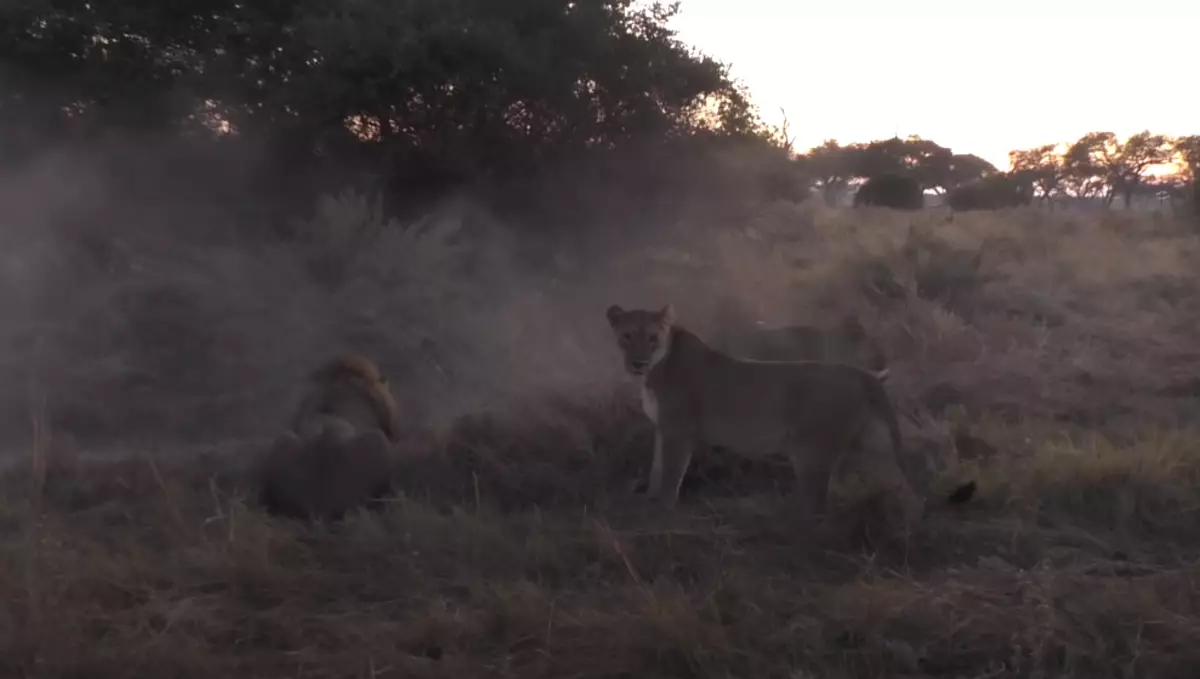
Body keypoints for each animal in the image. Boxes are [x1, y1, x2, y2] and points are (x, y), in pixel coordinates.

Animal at [604, 305, 969, 535]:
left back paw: (794, 532)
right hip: (872, 443)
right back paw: (912, 525)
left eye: (652, 337)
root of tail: (863, 374)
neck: (653, 371)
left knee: (820, 509)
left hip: (811, 453)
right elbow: (656, 468)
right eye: (627, 336)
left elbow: (670, 474)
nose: (637, 362)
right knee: (904, 482)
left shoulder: (679, 431)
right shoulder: (662, 430)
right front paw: (648, 500)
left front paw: (661, 512)